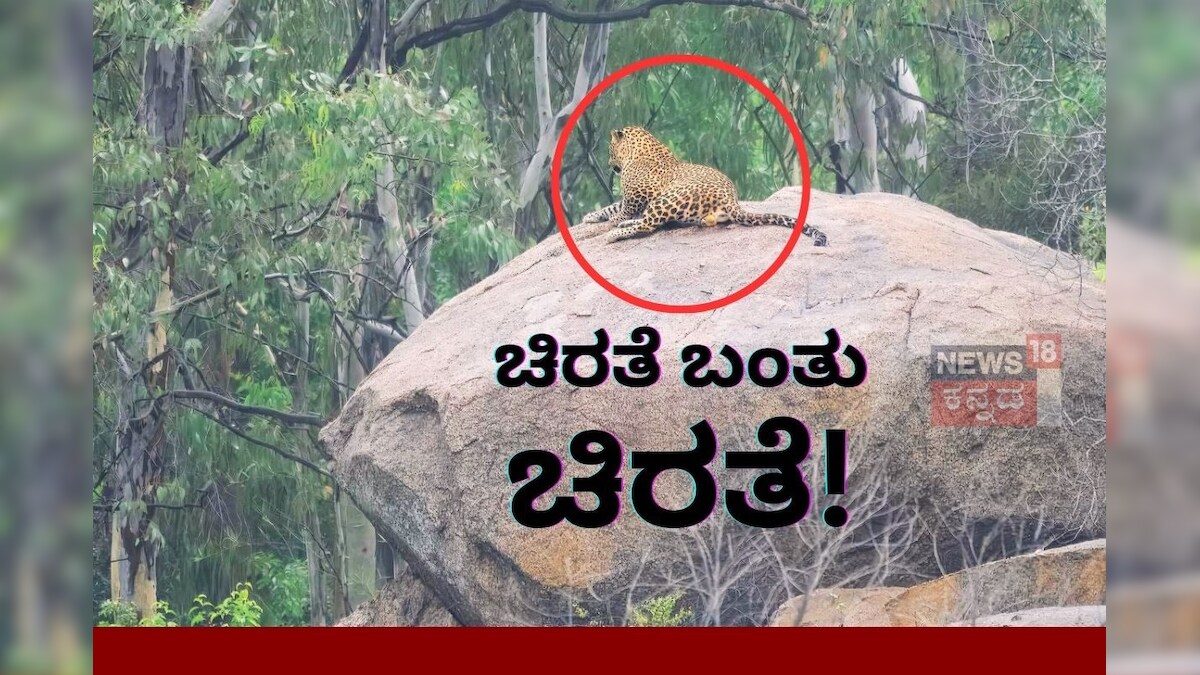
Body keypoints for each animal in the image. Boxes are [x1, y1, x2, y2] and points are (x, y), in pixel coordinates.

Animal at [580, 126, 828, 246]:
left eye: (609, 150)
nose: (609, 165)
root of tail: (731, 199)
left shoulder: (640, 194)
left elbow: (621, 209)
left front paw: (614, 220)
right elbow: (612, 206)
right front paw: (591, 216)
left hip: (667, 198)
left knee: (649, 225)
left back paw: (616, 233)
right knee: (655, 221)